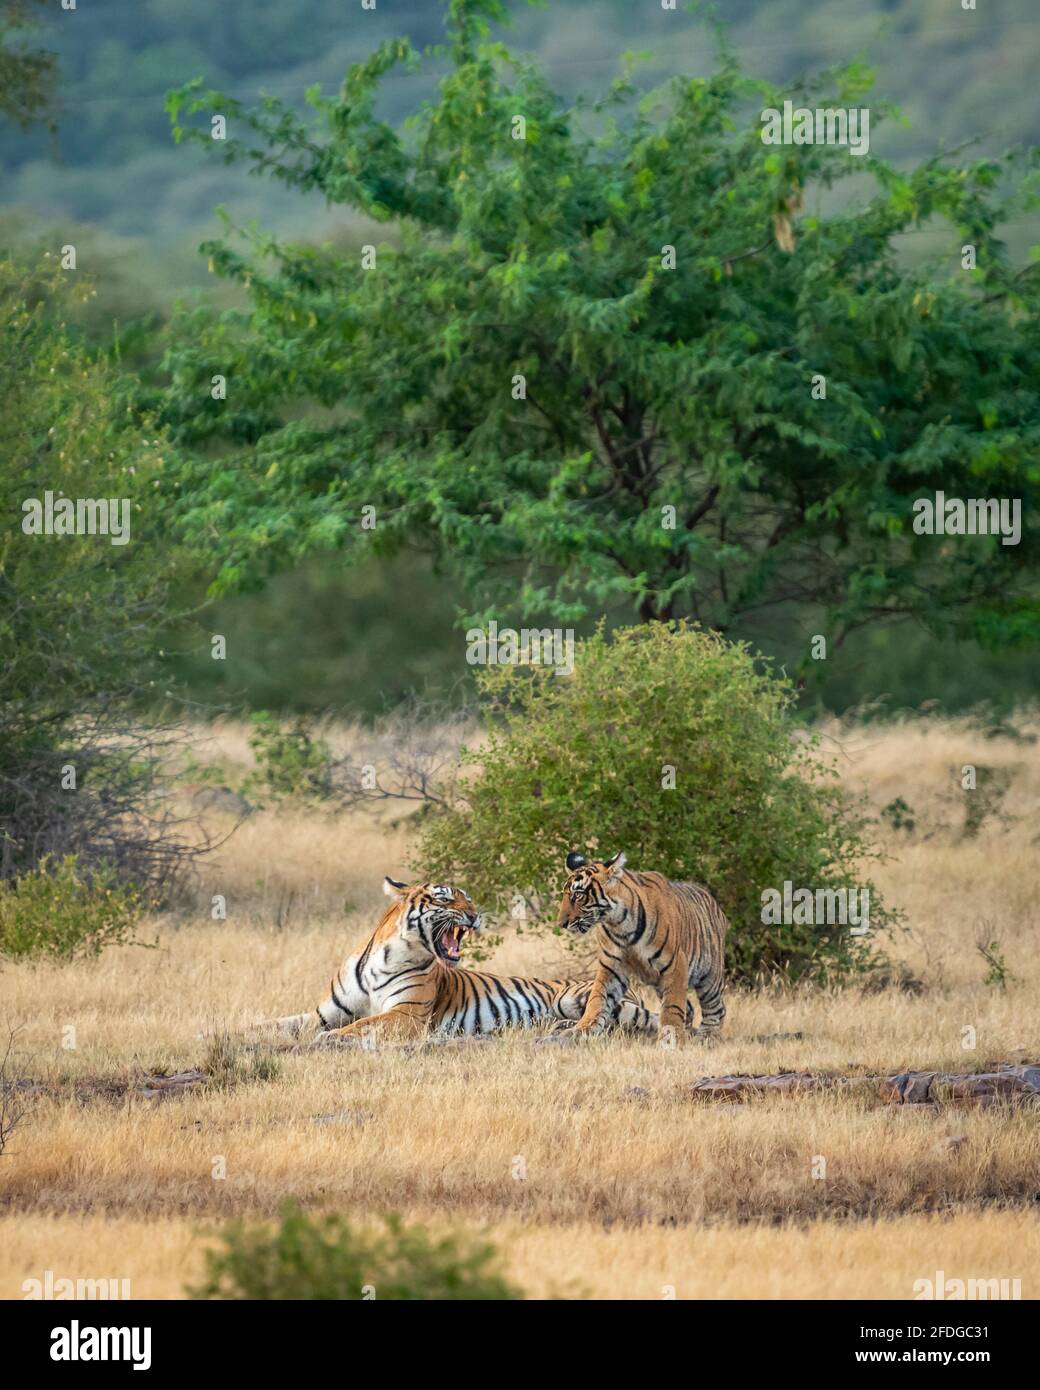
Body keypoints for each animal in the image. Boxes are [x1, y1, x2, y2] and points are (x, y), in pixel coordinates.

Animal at [277, 876, 659, 1043]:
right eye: (444, 898)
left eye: (469, 898)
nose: (475, 915)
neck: (387, 957)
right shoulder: (323, 1013)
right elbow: (280, 1023)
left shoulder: (406, 1014)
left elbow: (363, 1024)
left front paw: (330, 1039)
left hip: (577, 998)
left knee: (616, 1022)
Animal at [557, 851, 728, 1045]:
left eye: (578, 895)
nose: (561, 924)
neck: (618, 924)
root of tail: (714, 903)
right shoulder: (611, 966)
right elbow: (597, 999)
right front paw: (580, 1030)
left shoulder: (676, 965)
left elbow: (672, 1007)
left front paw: (670, 1041)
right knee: (690, 1008)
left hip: (709, 978)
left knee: (716, 1009)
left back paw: (707, 1037)